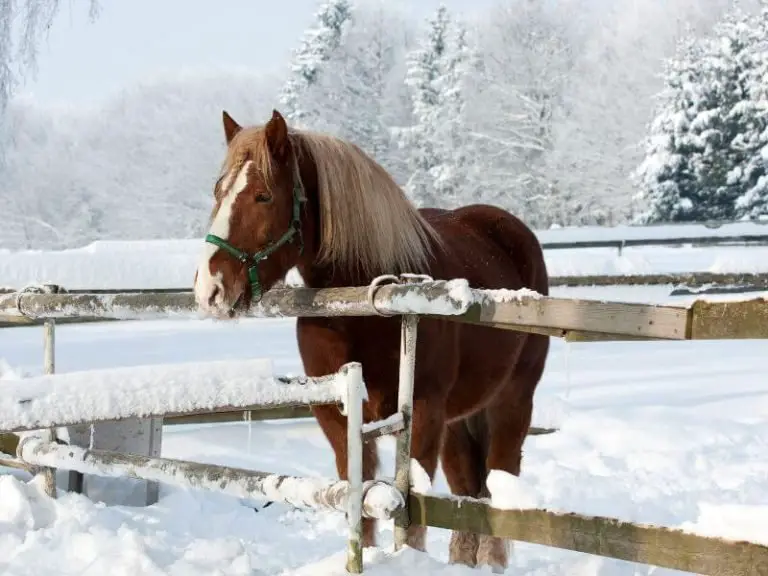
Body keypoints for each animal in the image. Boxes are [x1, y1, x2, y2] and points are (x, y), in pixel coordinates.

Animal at [193, 108, 550, 572]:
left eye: (263, 196)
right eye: (219, 191)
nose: (210, 290)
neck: (363, 304)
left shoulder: (422, 413)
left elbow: (412, 516)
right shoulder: (337, 415)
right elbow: (357, 504)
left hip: (511, 400)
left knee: (498, 483)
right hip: (458, 418)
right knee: (467, 492)